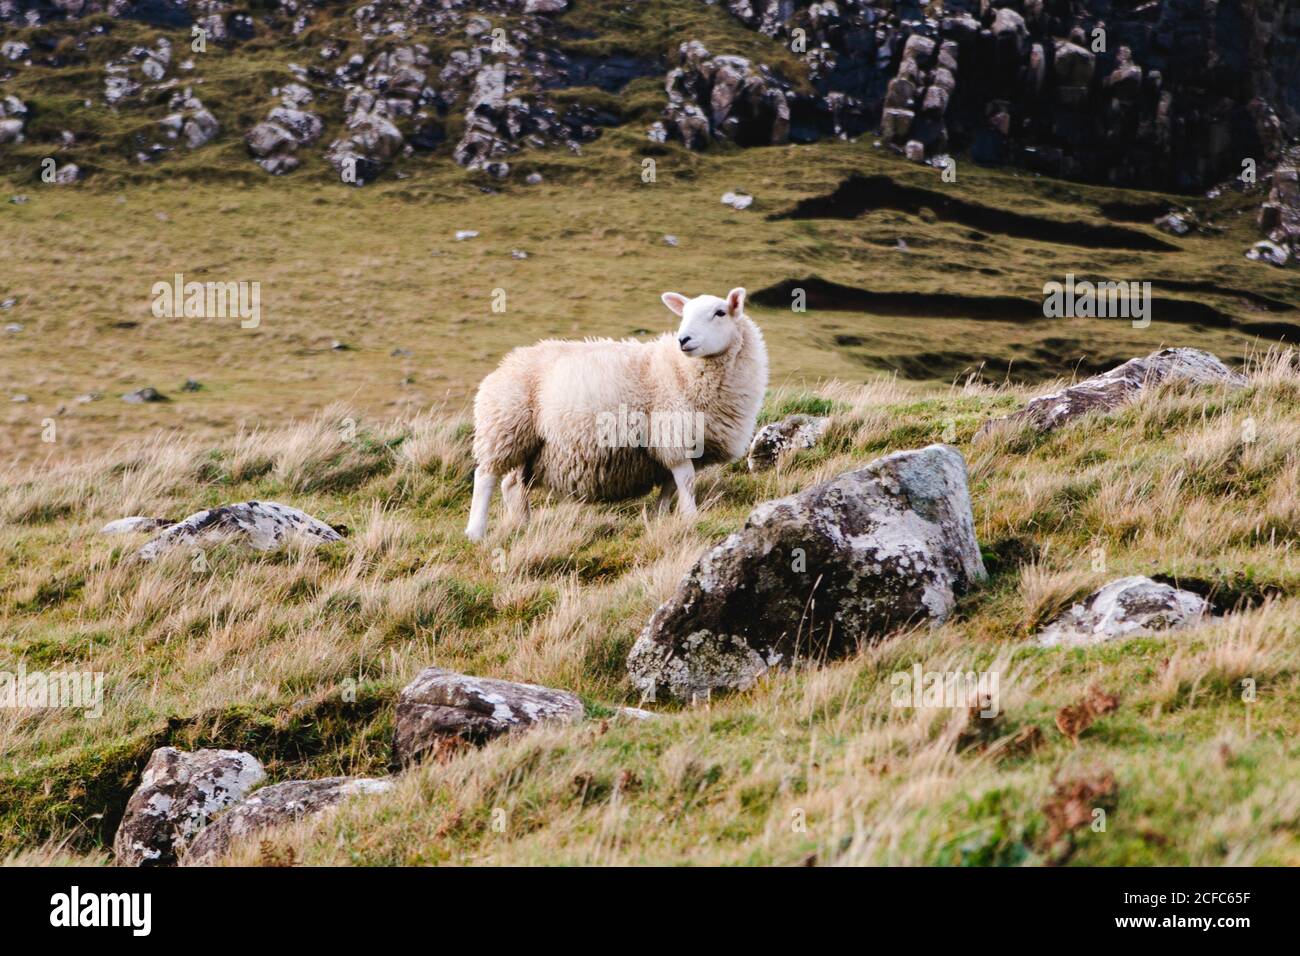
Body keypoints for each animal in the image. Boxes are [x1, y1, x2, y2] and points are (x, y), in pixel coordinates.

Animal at [465, 287, 769, 541]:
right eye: (683, 315)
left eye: (720, 313)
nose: (683, 339)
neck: (682, 369)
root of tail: (505, 364)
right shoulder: (672, 434)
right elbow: (686, 481)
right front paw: (691, 518)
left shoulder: (682, 444)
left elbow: (670, 485)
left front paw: (660, 517)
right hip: (504, 427)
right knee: (485, 477)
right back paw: (476, 531)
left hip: (531, 446)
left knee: (512, 484)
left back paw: (522, 523)